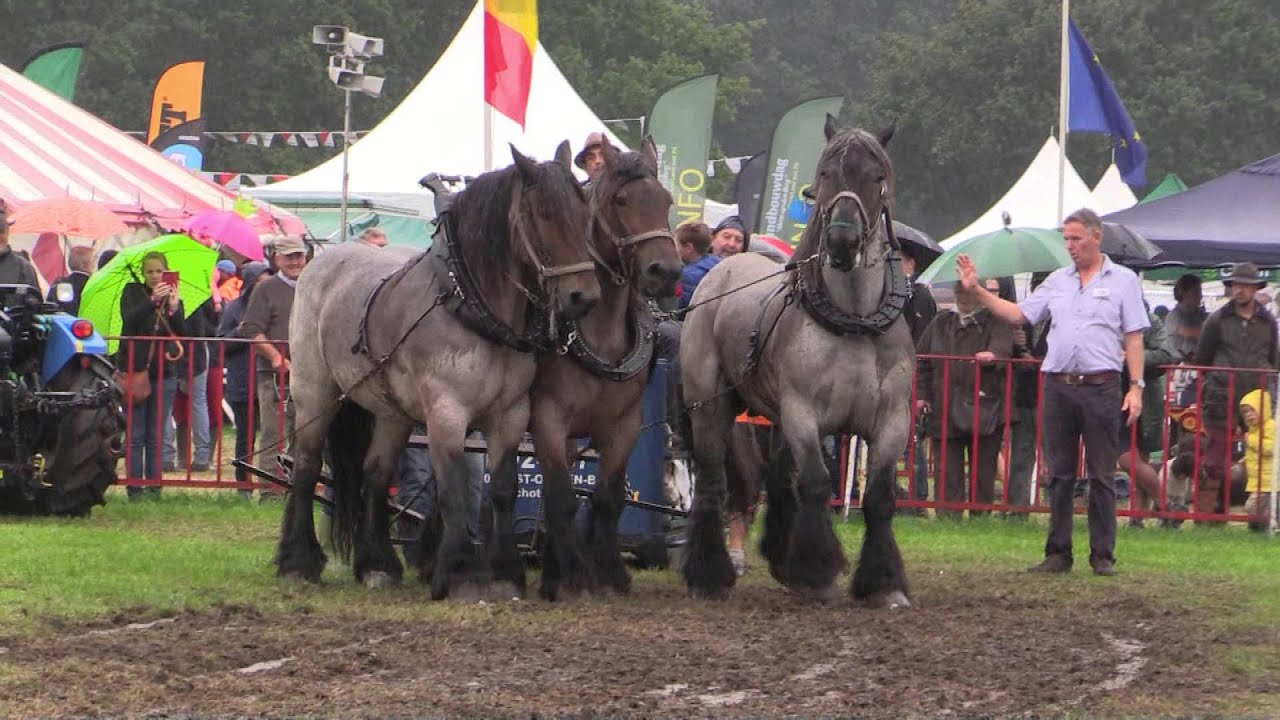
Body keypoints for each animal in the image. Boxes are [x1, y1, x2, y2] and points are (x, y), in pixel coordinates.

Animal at [275, 142, 602, 600]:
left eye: (585, 214)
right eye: (543, 215)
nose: (583, 297)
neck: (473, 309)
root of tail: (324, 259)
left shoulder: (511, 414)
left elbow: (502, 490)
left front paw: (504, 573)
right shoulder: (446, 413)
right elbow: (452, 493)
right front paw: (460, 573)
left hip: (390, 413)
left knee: (375, 475)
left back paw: (378, 565)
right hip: (314, 392)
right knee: (305, 467)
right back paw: (297, 561)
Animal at [501, 136, 682, 601]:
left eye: (667, 200)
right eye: (621, 200)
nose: (666, 270)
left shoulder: (626, 423)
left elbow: (608, 496)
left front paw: (609, 572)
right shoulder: (548, 418)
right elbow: (562, 495)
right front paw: (566, 577)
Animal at [678, 116, 915, 607]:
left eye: (876, 177)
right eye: (825, 174)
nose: (842, 240)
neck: (855, 322)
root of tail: (723, 267)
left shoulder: (892, 419)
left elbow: (879, 497)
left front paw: (883, 584)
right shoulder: (804, 413)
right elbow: (818, 484)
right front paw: (817, 574)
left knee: (778, 477)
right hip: (710, 407)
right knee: (713, 482)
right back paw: (708, 574)